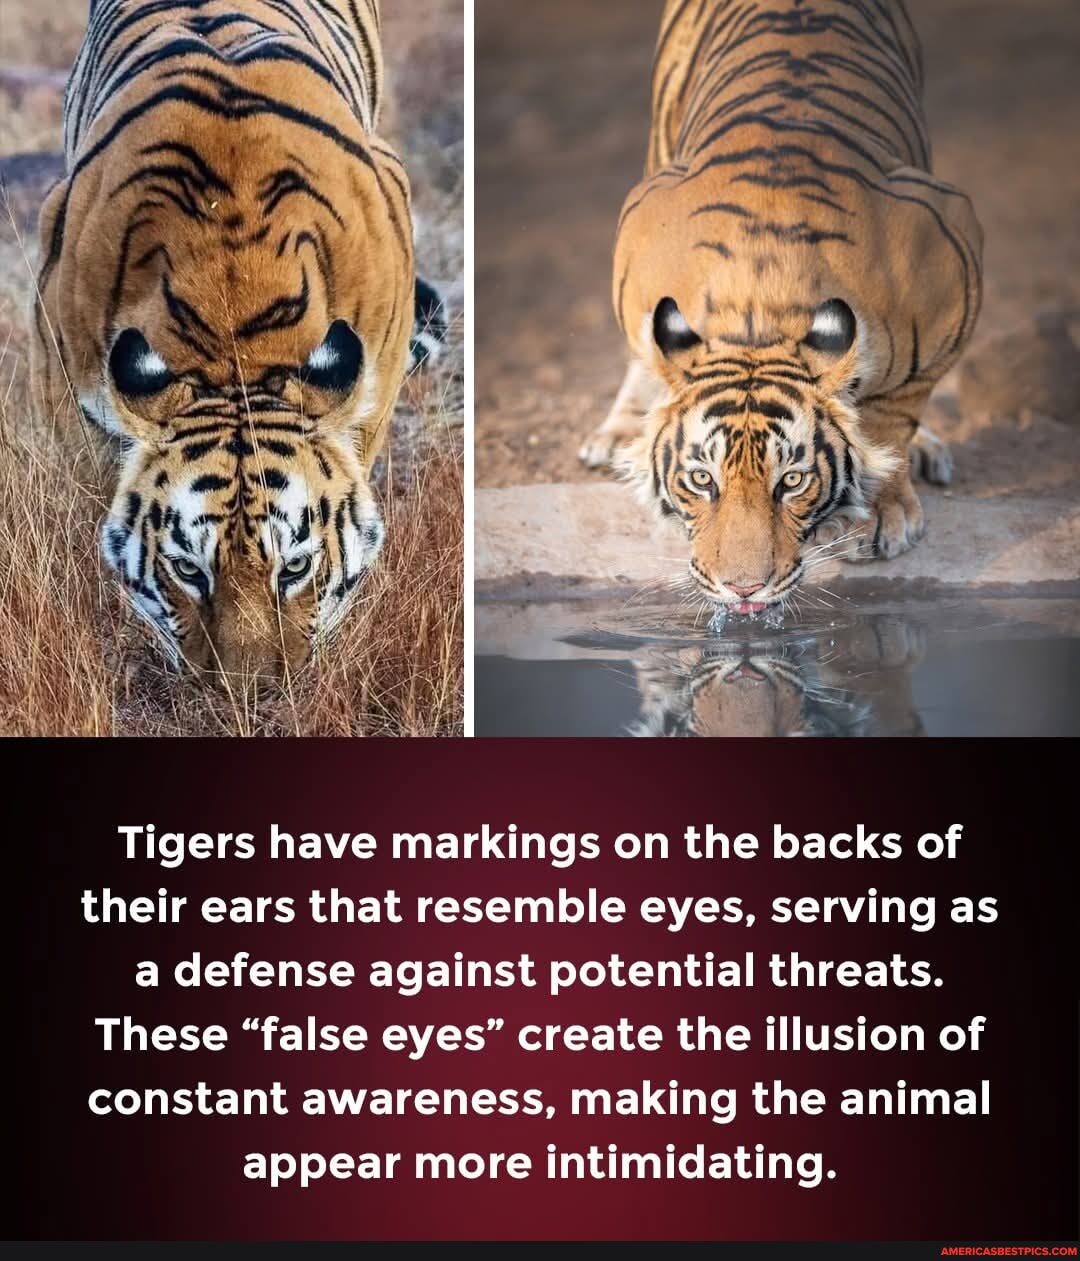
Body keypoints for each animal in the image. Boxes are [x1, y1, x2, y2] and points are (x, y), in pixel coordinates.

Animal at [580, 0, 982, 621]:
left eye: (791, 481)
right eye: (702, 479)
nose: (743, 589)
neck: (759, 312)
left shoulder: (953, 258)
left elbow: (894, 416)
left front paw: (879, 511)